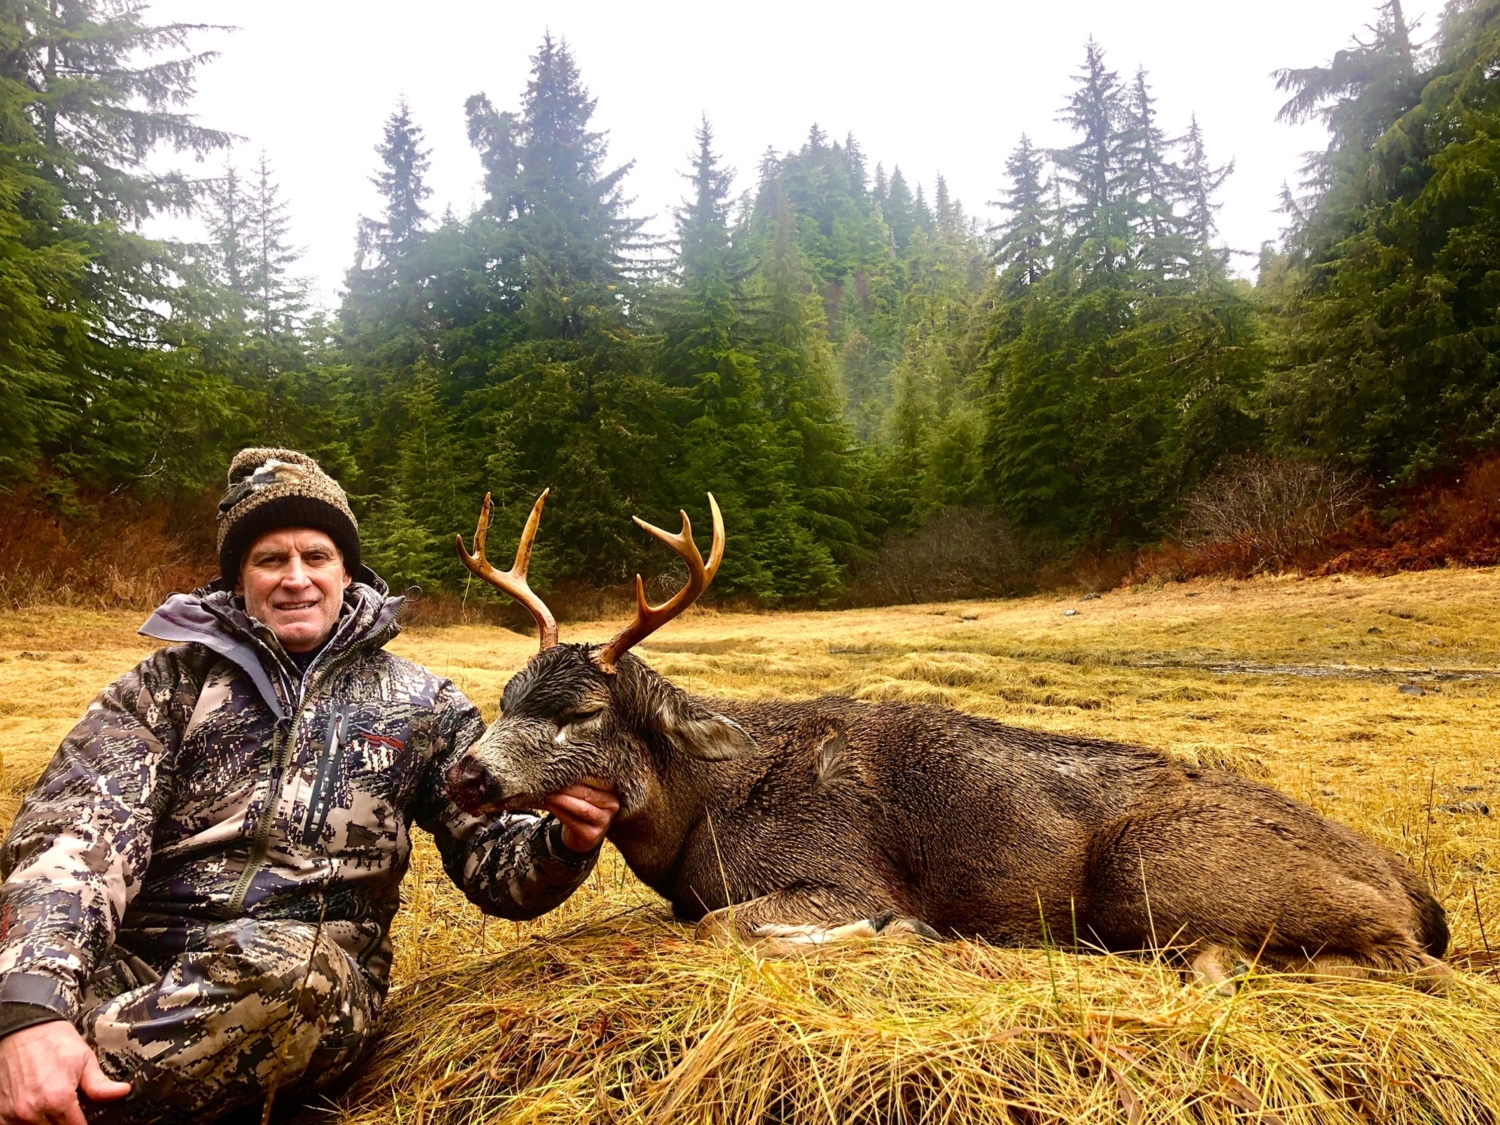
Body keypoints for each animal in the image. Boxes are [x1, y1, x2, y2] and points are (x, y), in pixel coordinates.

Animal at [444, 491, 1452, 993]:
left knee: (1345, 960)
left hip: (1152, 862)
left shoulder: (837, 866)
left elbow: (728, 926)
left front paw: (893, 929)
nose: (464, 772)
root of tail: (1415, 886)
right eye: (505, 697)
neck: (705, 810)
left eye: (580, 712)